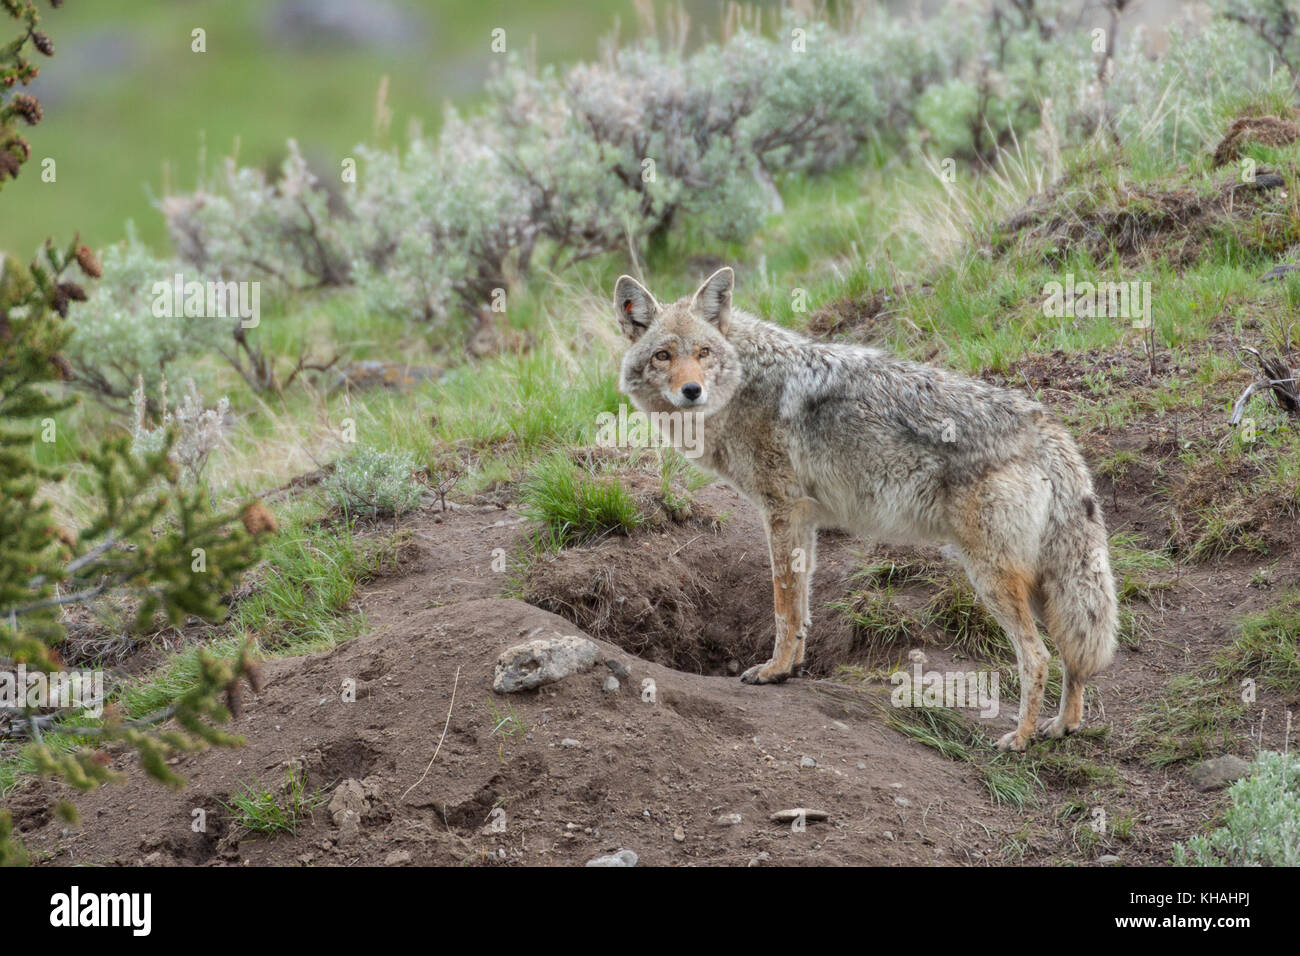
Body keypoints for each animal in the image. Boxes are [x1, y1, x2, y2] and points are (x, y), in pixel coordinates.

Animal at [614, 267, 1117, 752]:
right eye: (663, 356)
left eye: (703, 352)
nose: (692, 390)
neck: (745, 384)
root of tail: (1048, 427)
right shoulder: (803, 519)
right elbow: (802, 608)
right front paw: (792, 667)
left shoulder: (781, 511)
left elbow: (783, 606)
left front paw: (772, 669)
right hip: (1041, 586)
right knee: (1073, 655)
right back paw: (1063, 725)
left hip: (993, 578)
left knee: (1038, 656)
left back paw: (1021, 738)